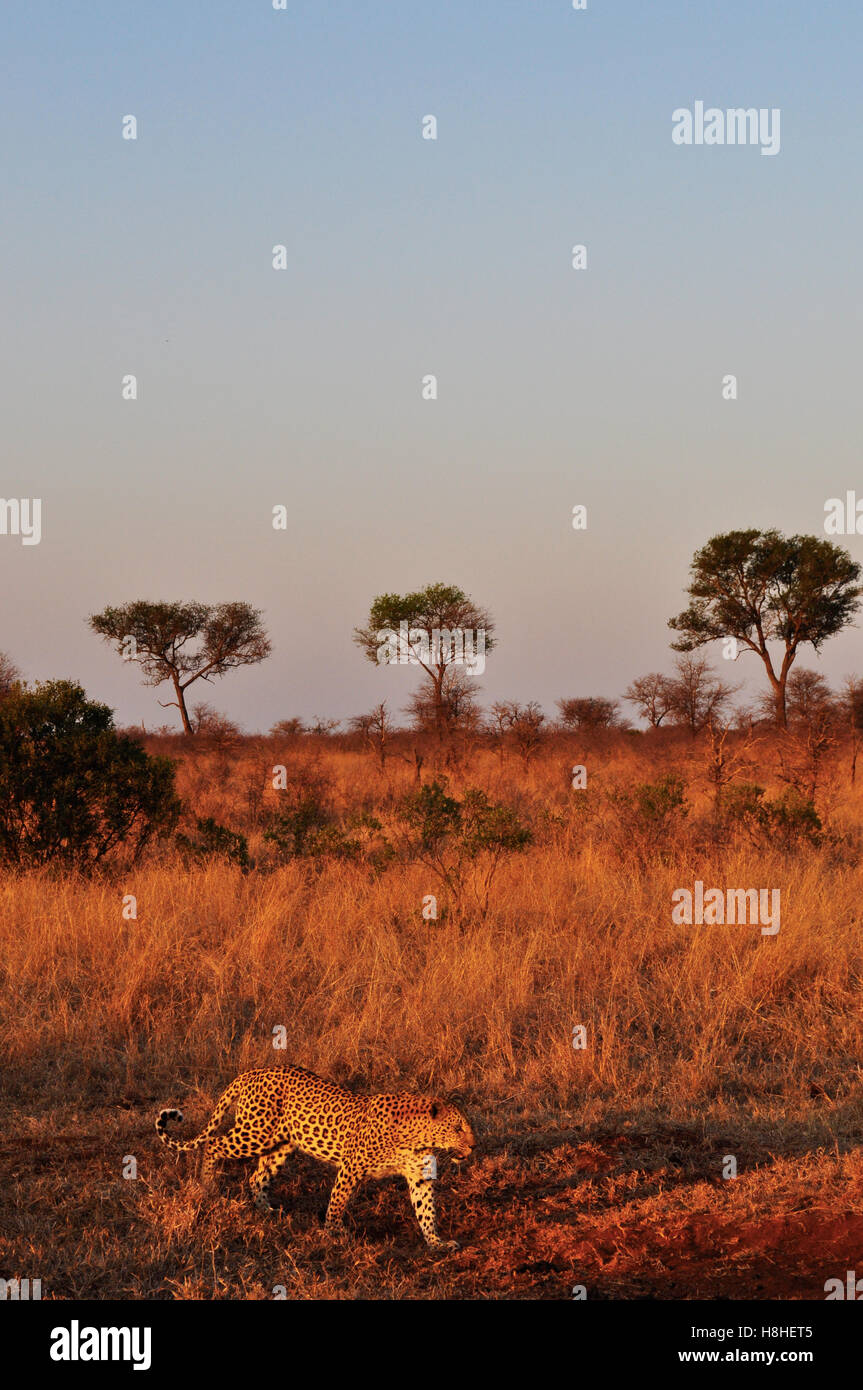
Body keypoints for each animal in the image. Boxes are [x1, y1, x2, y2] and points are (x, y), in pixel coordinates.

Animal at [155, 1064, 475, 1250]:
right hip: (254, 1133)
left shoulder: (420, 1177)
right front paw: (333, 1232)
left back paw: (266, 1210)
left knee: (257, 1176)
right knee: (213, 1145)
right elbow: (337, 1202)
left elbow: (426, 1210)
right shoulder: (351, 1168)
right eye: (458, 1128)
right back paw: (207, 1186)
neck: (418, 1139)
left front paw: (436, 1242)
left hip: (280, 1144)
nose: (473, 1146)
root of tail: (252, 1071)